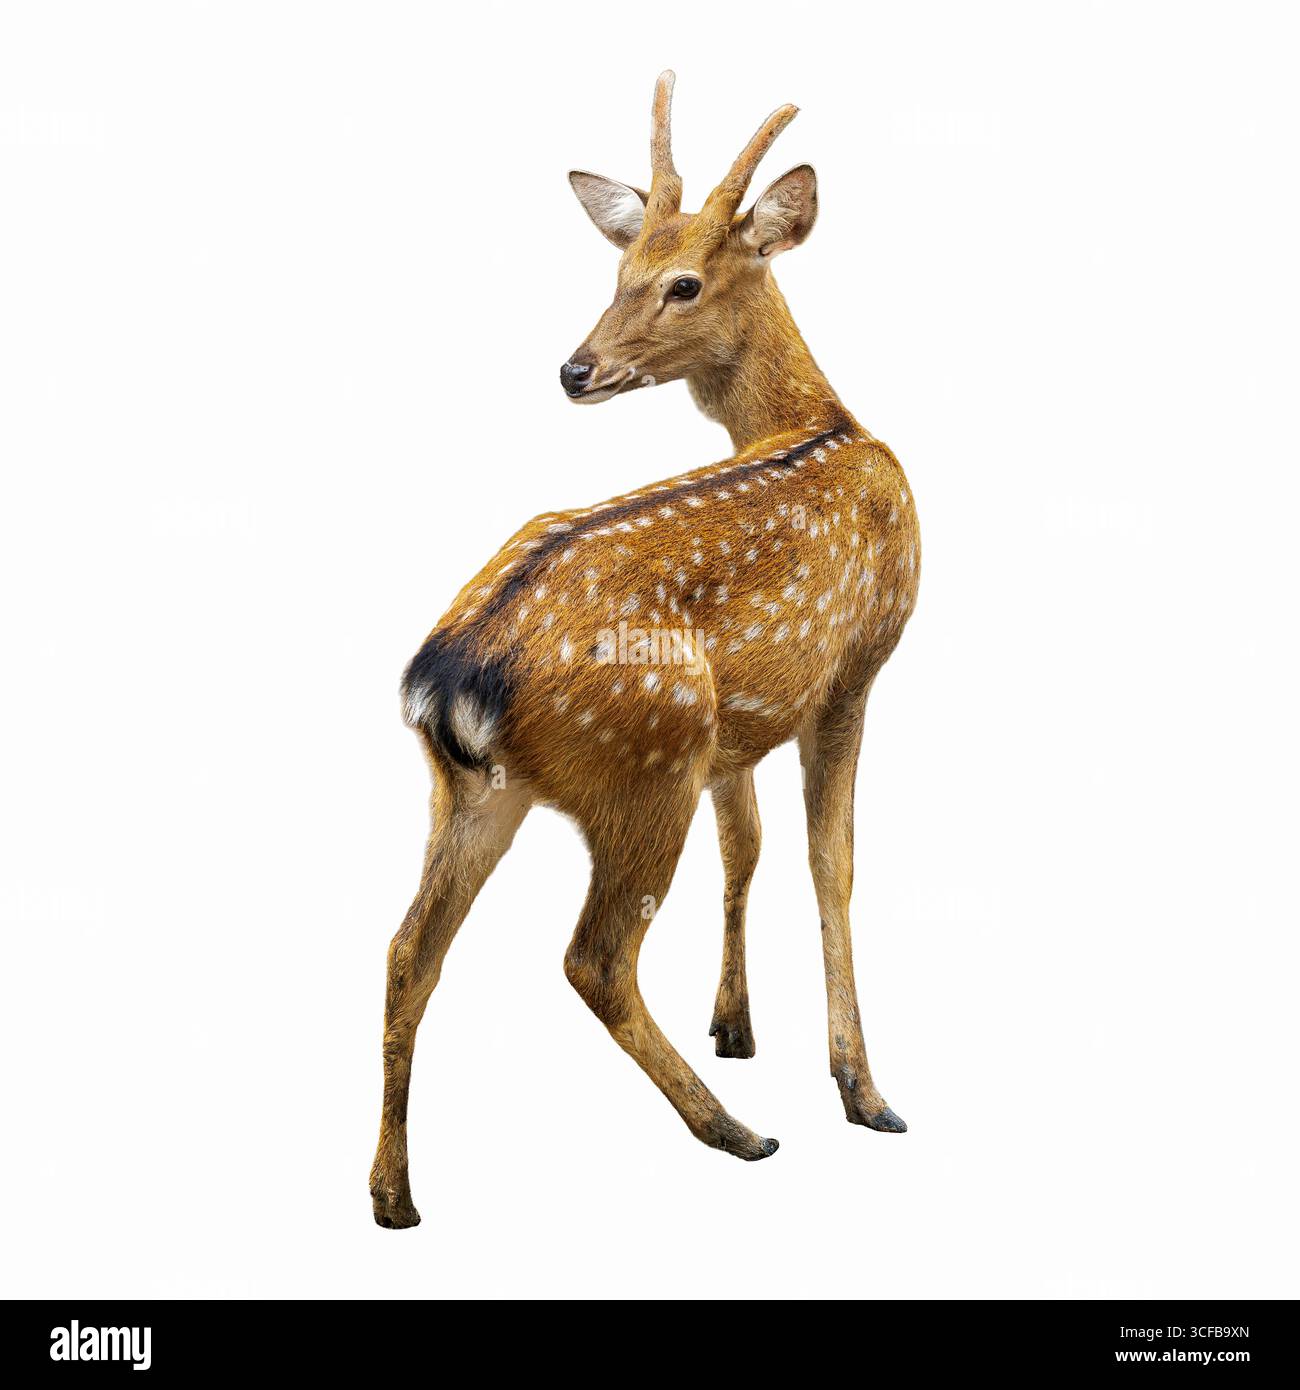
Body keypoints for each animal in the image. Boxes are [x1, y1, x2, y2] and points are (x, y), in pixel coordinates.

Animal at [371, 72, 920, 1228]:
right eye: (615, 272)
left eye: (679, 283)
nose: (574, 369)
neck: (834, 425)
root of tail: (450, 679)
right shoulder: (854, 668)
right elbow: (832, 863)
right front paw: (863, 1089)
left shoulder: (741, 729)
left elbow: (747, 848)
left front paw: (738, 1025)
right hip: (645, 762)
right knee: (593, 958)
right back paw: (736, 1129)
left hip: (477, 792)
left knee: (406, 952)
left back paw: (393, 1196)